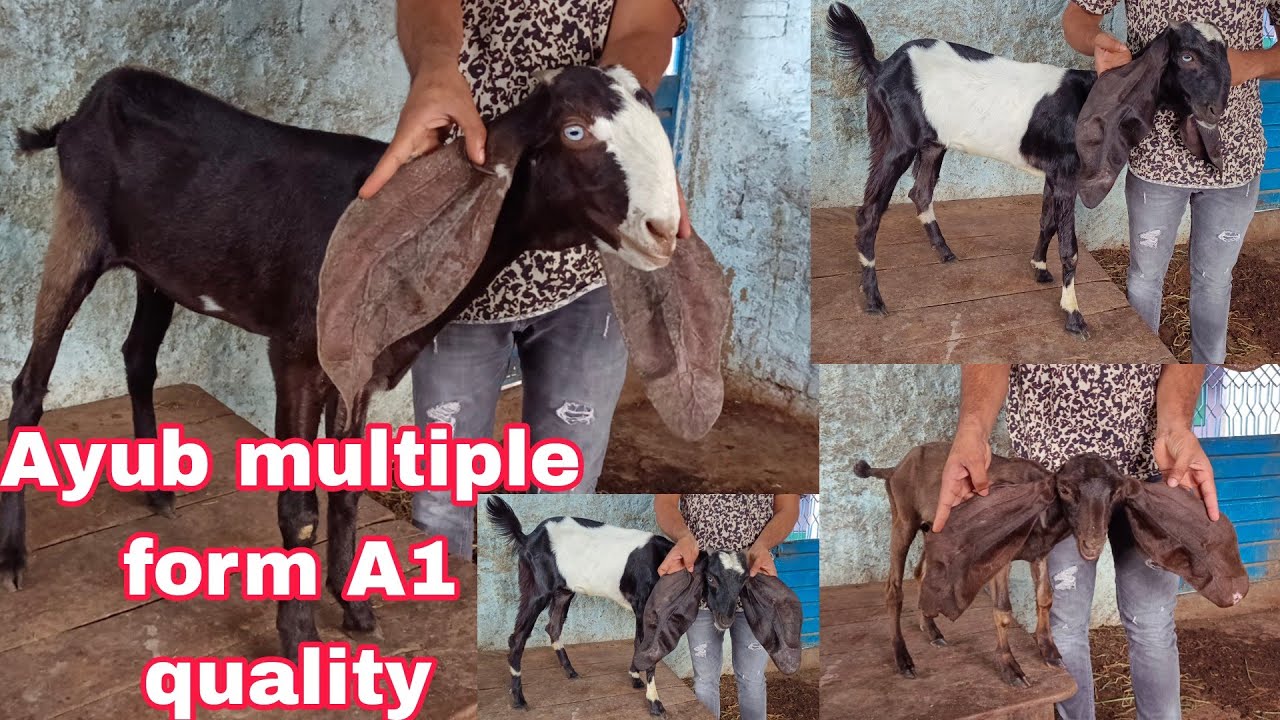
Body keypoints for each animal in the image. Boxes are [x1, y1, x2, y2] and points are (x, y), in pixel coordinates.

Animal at [3, 64, 725, 661]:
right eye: (574, 131)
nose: (665, 230)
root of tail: (88, 104)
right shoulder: (298, 355)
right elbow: (300, 504)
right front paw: (297, 636)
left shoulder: (363, 371)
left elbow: (347, 487)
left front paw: (352, 606)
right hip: (78, 228)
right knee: (30, 382)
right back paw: (13, 558)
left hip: (159, 267)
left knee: (138, 357)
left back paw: (155, 489)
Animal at [485, 496, 748, 716]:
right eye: (711, 578)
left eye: (744, 581)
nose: (726, 619)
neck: (663, 561)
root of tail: (528, 536)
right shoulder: (645, 606)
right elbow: (647, 649)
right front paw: (655, 703)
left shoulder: (641, 610)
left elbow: (638, 644)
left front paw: (635, 677)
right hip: (537, 588)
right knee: (517, 637)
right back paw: (519, 698)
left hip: (564, 590)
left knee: (553, 626)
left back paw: (570, 671)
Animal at [826, 3, 1230, 337]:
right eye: (1186, 56)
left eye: (1225, 56)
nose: (1215, 109)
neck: (1090, 100)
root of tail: (882, 66)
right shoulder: (1067, 176)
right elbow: (1070, 247)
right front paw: (1073, 316)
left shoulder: (1054, 173)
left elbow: (1046, 222)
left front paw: (1038, 267)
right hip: (896, 139)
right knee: (870, 211)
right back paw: (874, 299)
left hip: (933, 141)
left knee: (920, 191)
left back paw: (944, 252)